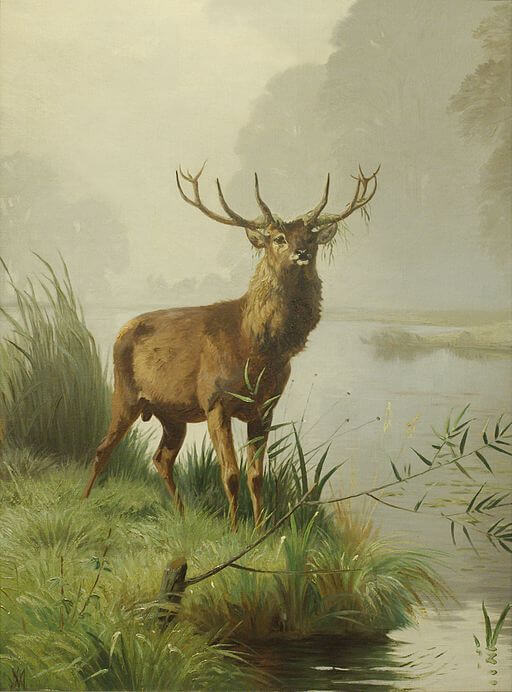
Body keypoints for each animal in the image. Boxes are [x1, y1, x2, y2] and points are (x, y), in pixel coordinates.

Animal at [82, 162, 379, 530]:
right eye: (278, 238)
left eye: (310, 236)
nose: (302, 253)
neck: (257, 347)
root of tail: (121, 331)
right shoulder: (215, 401)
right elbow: (230, 474)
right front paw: (234, 529)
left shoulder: (266, 408)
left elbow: (256, 476)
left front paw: (260, 527)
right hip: (125, 393)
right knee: (102, 448)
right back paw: (83, 502)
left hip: (172, 415)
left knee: (161, 458)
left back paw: (182, 514)